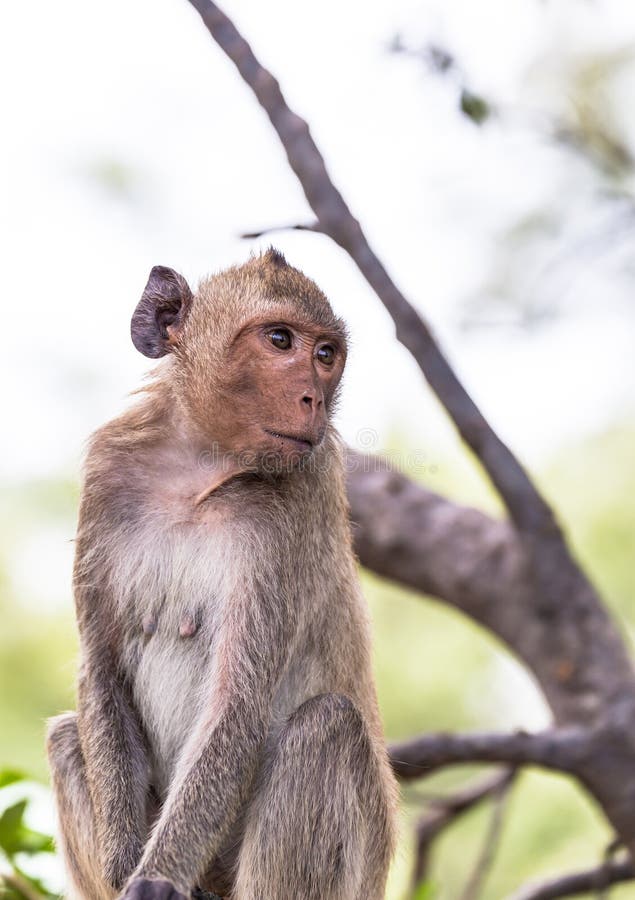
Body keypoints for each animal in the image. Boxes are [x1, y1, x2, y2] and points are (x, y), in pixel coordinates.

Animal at [46, 249, 399, 900]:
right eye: (280, 340)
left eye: (325, 353)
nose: (312, 398)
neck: (199, 468)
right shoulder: (107, 475)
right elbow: (102, 670)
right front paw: (125, 867)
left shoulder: (293, 501)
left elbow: (238, 699)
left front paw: (154, 879)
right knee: (65, 736)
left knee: (327, 729)